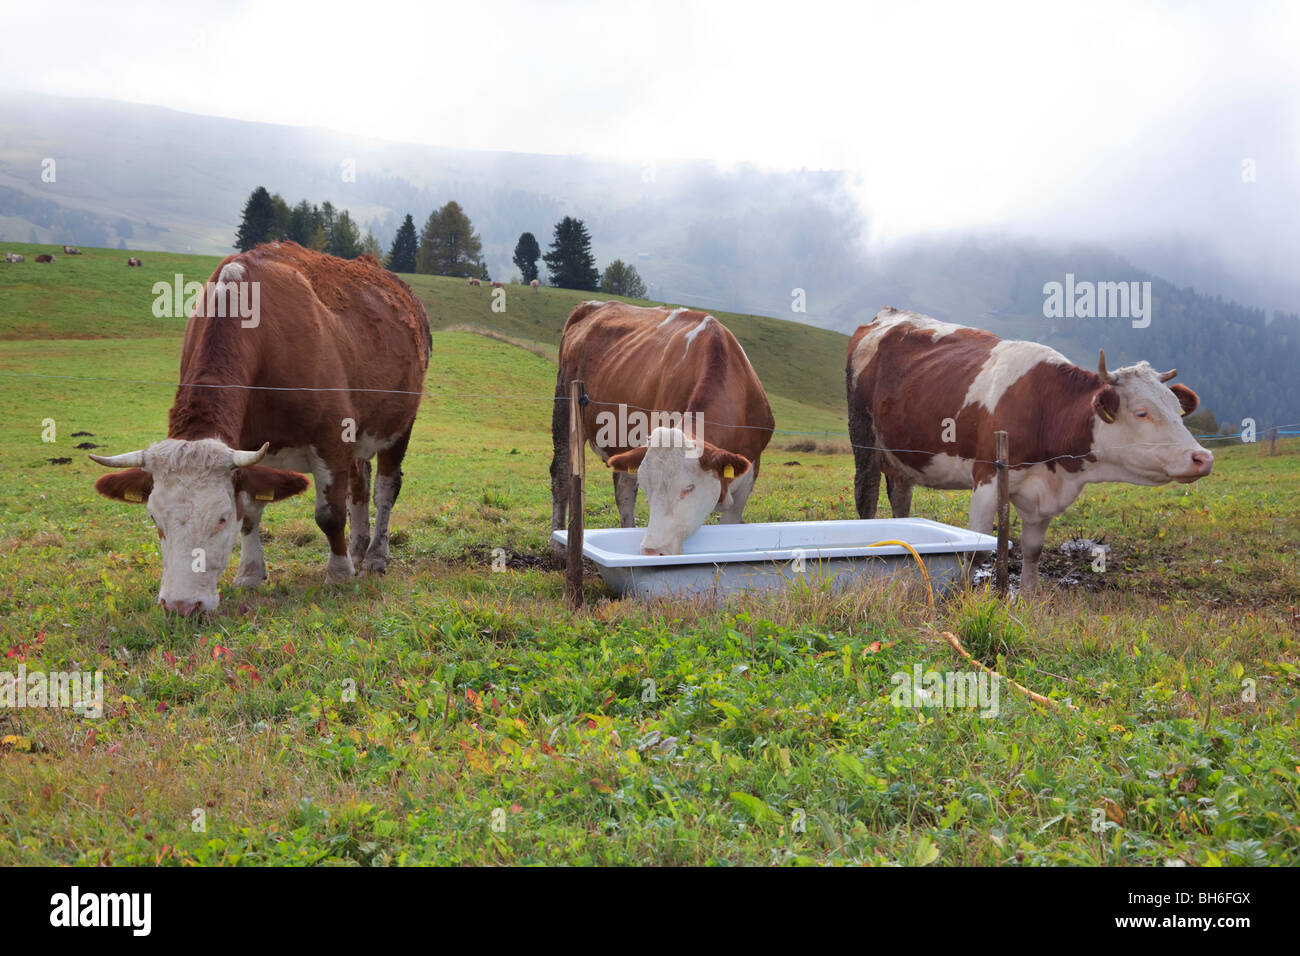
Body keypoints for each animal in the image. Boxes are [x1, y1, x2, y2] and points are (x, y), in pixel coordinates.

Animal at [89, 241, 431, 615]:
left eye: (222, 517)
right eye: (154, 518)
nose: (181, 605)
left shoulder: (331, 438)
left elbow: (330, 514)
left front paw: (339, 574)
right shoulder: (251, 447)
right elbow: (252, 512)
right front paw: (250, 573)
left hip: (400, 424)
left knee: (385, 489)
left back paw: (374, 556)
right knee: (360, 485)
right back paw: (357, 547)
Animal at [551, 301, 774, 556]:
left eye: (689, 487)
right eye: (649, 489)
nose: (651, 551)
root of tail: (593, 305)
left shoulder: (749, 474)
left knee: (624, 488)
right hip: (564, 404)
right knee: (561, 473)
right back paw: (556, 543)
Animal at [846, 307, 1213, 592]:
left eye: (1178, 410)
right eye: (1141, 412)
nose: (1203, 458)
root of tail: (889, 314)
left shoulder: (1042, 493)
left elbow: (1032, 549)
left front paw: (1027, 597)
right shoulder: (987, 477)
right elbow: (978, 550)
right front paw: (961, 596)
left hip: (901, 457)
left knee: (900, 498)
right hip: (863, 438)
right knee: (866, 496)